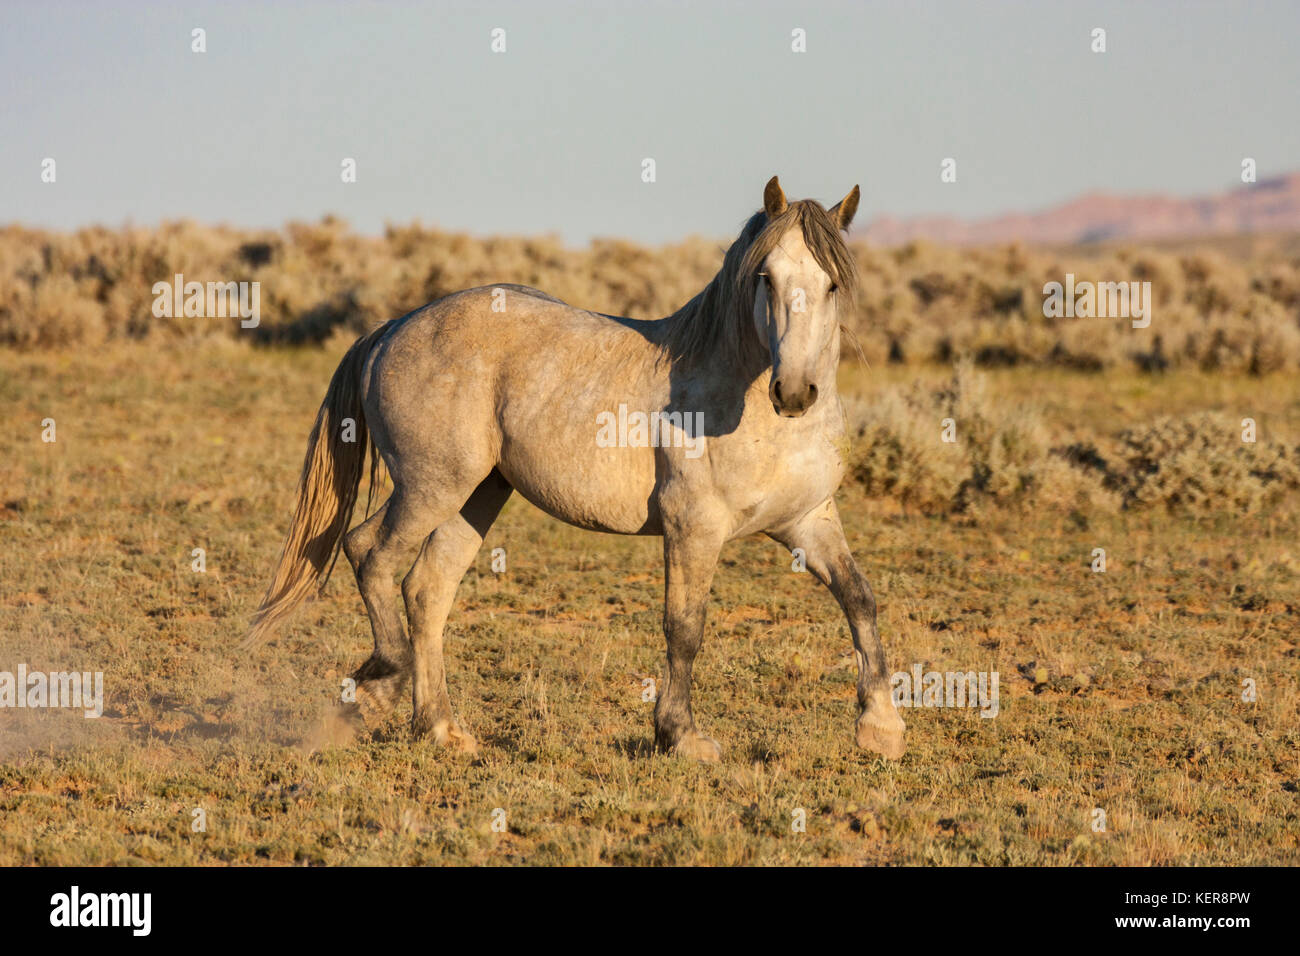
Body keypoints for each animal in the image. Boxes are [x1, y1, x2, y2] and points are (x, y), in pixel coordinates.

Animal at [247, 177, 906, 761]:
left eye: (831, 284)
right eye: (766, 278)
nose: (794, 391)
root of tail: (394, 328)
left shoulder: (806, 522)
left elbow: (860, 598)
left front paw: (881, 728)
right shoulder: (693, 529)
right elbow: (685, 627)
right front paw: (682, 737)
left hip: (478, 495)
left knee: (426, 590)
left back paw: (440, 728)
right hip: (432, 486)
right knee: (370, 554)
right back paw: (381, 681)